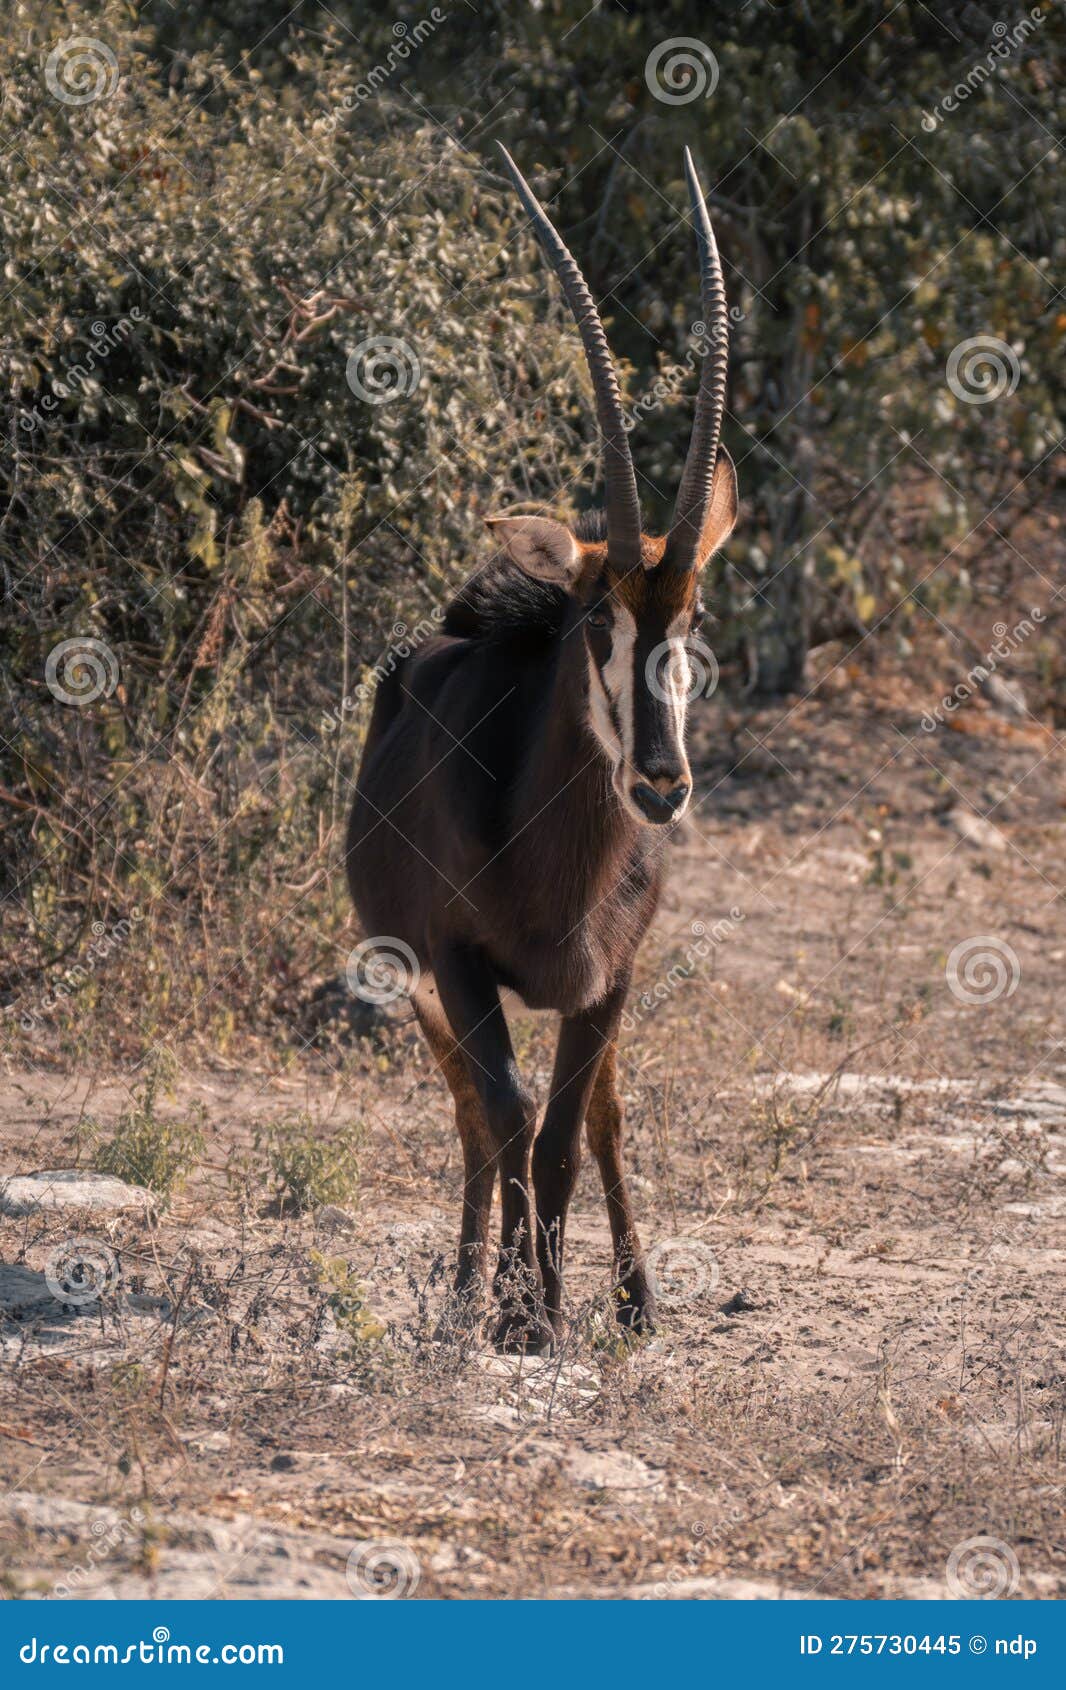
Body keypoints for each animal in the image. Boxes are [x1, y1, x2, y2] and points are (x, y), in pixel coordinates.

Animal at [346, 146, 738, 1352]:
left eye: (692, 619)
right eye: (597, 619)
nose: (660, 785)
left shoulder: (609, 977)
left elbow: (570, 1129)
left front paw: (558, 1310)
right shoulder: (458, 963)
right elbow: (512, 1116)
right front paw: (515, 1312)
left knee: (593, 1118)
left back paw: (633, 1298)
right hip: (415, 982)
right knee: (476, 1118)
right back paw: (466, 1292)